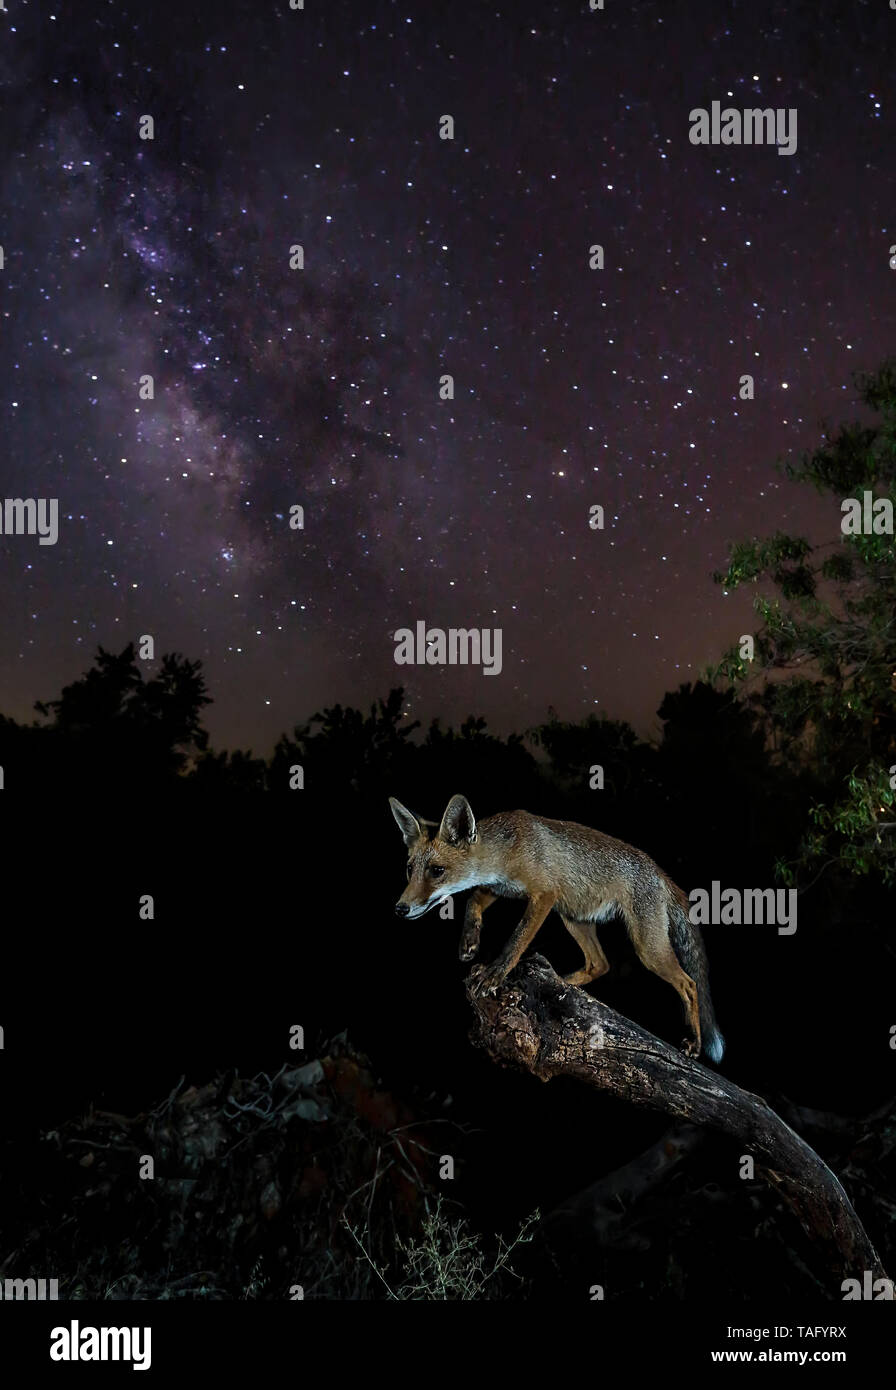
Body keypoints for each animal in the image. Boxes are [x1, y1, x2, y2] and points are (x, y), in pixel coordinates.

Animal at [390, 793, 724, 1063]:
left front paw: (495, 973)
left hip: (646, 948)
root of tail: (661, 873)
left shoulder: (544, 896)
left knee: (689, 984)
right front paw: (469, 941)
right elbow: (473, 899)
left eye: (437, 871)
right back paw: (562, 984)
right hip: (574, 919)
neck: (505, 849)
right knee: (599, 964)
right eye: (409, 869)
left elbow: (516, 940)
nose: (400, 909)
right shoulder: (500, 888)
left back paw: (695, 1044)